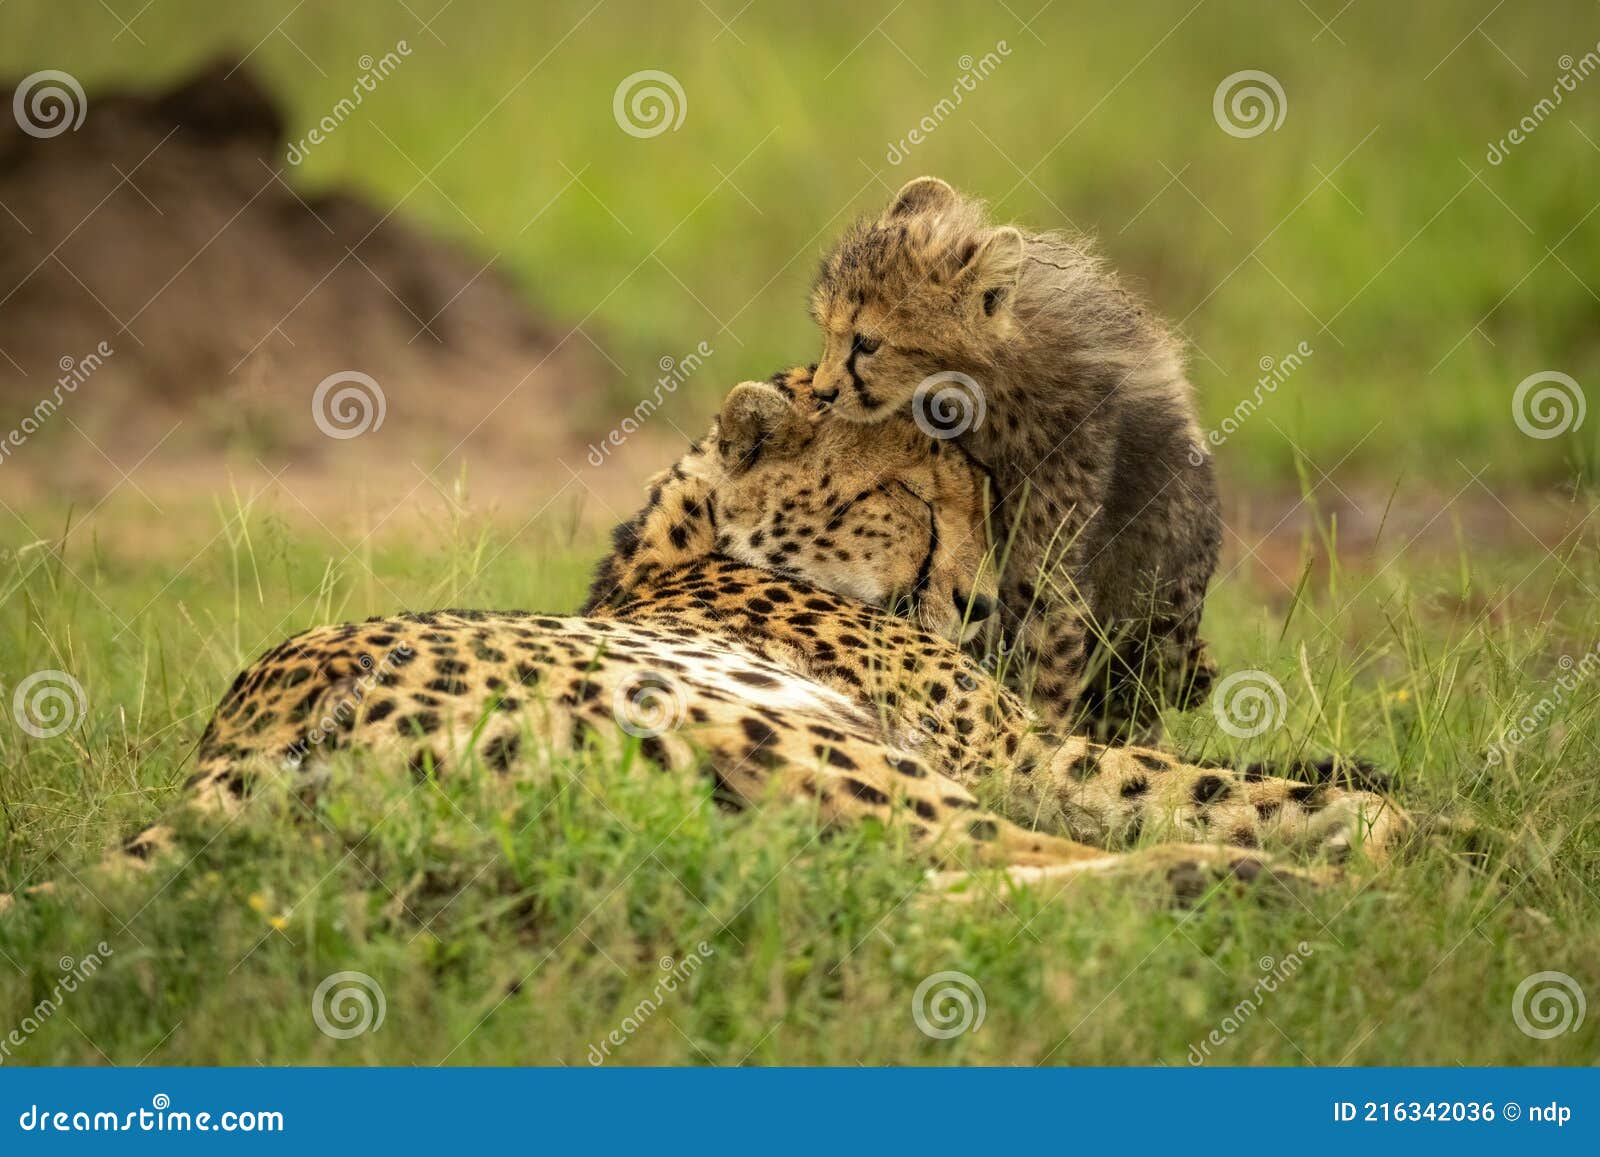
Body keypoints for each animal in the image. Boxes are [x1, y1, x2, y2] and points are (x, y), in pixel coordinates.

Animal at [2, 381, 1406, 915]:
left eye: (982, 499)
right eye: (913, 496)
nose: (974, 604)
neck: (692, 543)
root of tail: (248, 727)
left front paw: (1372, 788)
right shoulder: (1013, 750)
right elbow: (1201, 782)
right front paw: (1411, 834)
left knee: (882, 892)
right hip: (812, 746)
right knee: (965, 870)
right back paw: (1262, 886)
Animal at [807, 175, 1222, 746]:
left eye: (867, 343)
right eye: (826, 331)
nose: (822, 391)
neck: (986, 394)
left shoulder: (1047, 561)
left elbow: (1047, 653)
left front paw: (1041, 739)